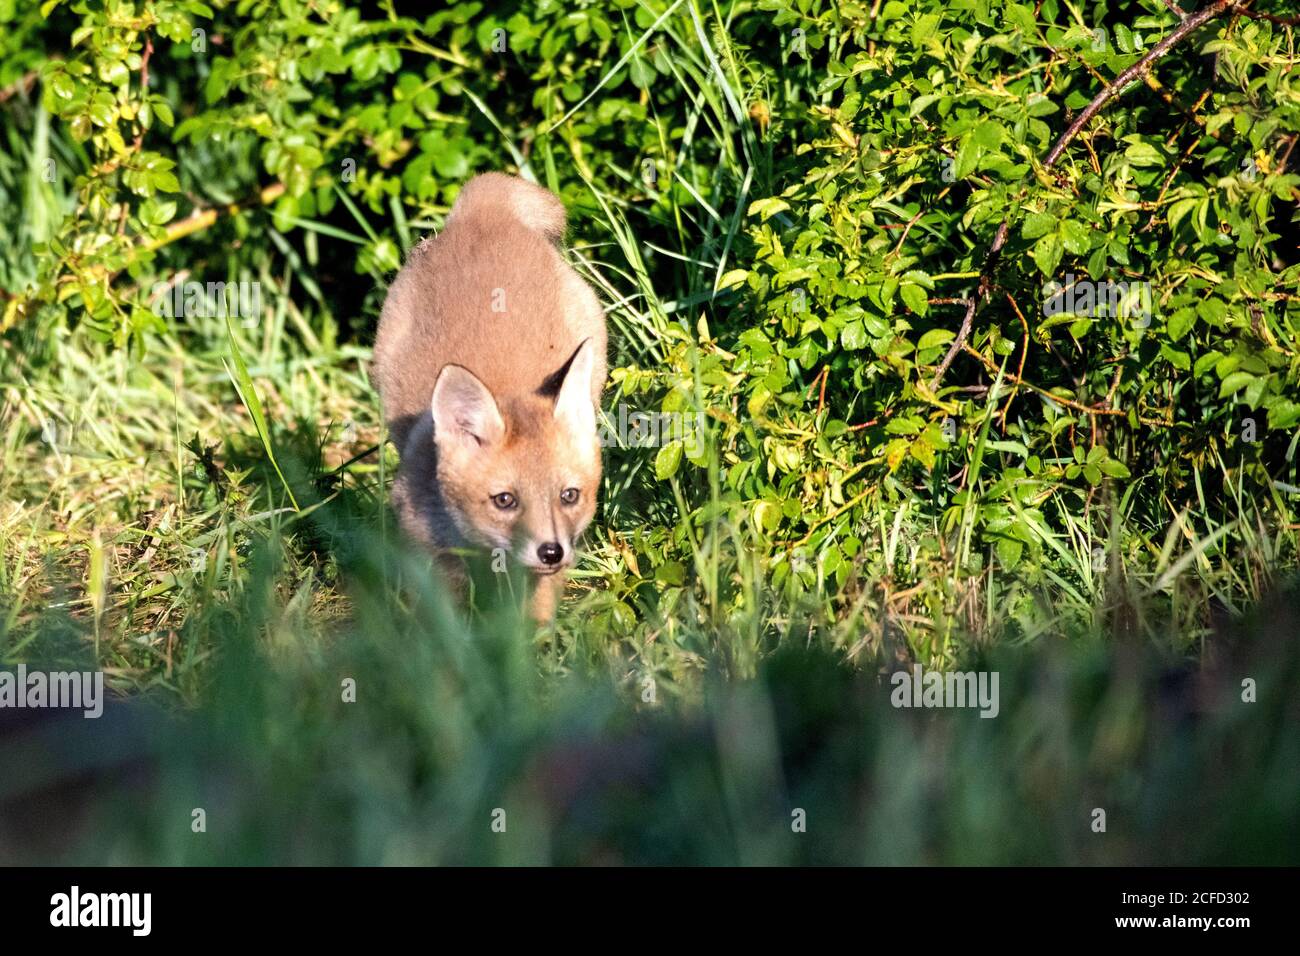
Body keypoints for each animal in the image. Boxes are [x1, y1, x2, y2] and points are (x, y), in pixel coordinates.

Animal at [372, 173, 607, 621]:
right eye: (505, 500)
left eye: (569, 495)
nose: (552, 552)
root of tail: (486, 207)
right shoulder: (426, 549)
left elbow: (532, 620)